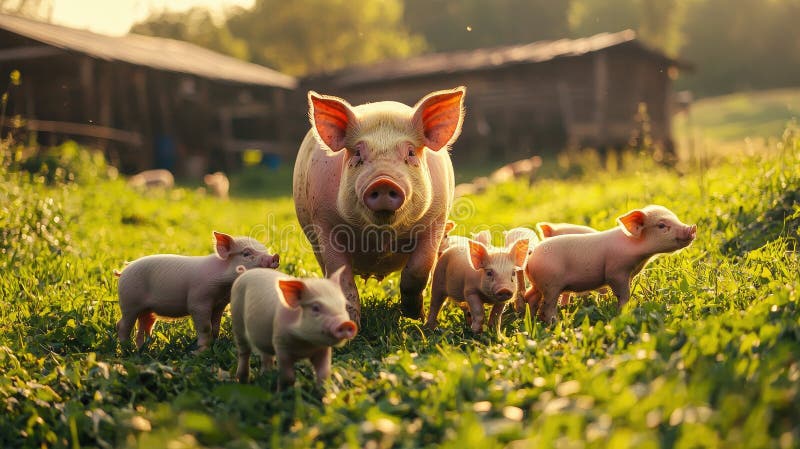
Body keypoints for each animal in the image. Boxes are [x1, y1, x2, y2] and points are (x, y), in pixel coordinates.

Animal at [115, 231, 280, 351]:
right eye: (246, 254)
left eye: (265, 250)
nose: (275, 257)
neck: (223, 287)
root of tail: (123, 271)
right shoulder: (198, 300)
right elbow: (205, 327)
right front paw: (201, 351)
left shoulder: (220, 304)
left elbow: (215, 326)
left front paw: (215, 344)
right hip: (129, 302)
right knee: (122, 324)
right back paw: (126, 349)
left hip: (147, 309)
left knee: (144, 325)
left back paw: (144, 348)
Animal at [293, 87, 466, 326]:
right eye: (357, 153)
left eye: (410, 152)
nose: (383, 181)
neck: (381, 237)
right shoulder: (324, 221)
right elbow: (342, 277)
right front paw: (353, 325)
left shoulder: (436, 218)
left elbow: (418, 270)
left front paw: (414, 317)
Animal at [524, 205, 696, 322]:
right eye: (661, 225)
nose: (692, 227)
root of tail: (530, 258)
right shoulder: (616, 272)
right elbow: (623, 294)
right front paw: (623, 311)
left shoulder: (629, 274)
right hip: (551, 284)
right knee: (547, 306)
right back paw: (555, 322)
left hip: (539, 284)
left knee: (531, 297)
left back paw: (530, 318)